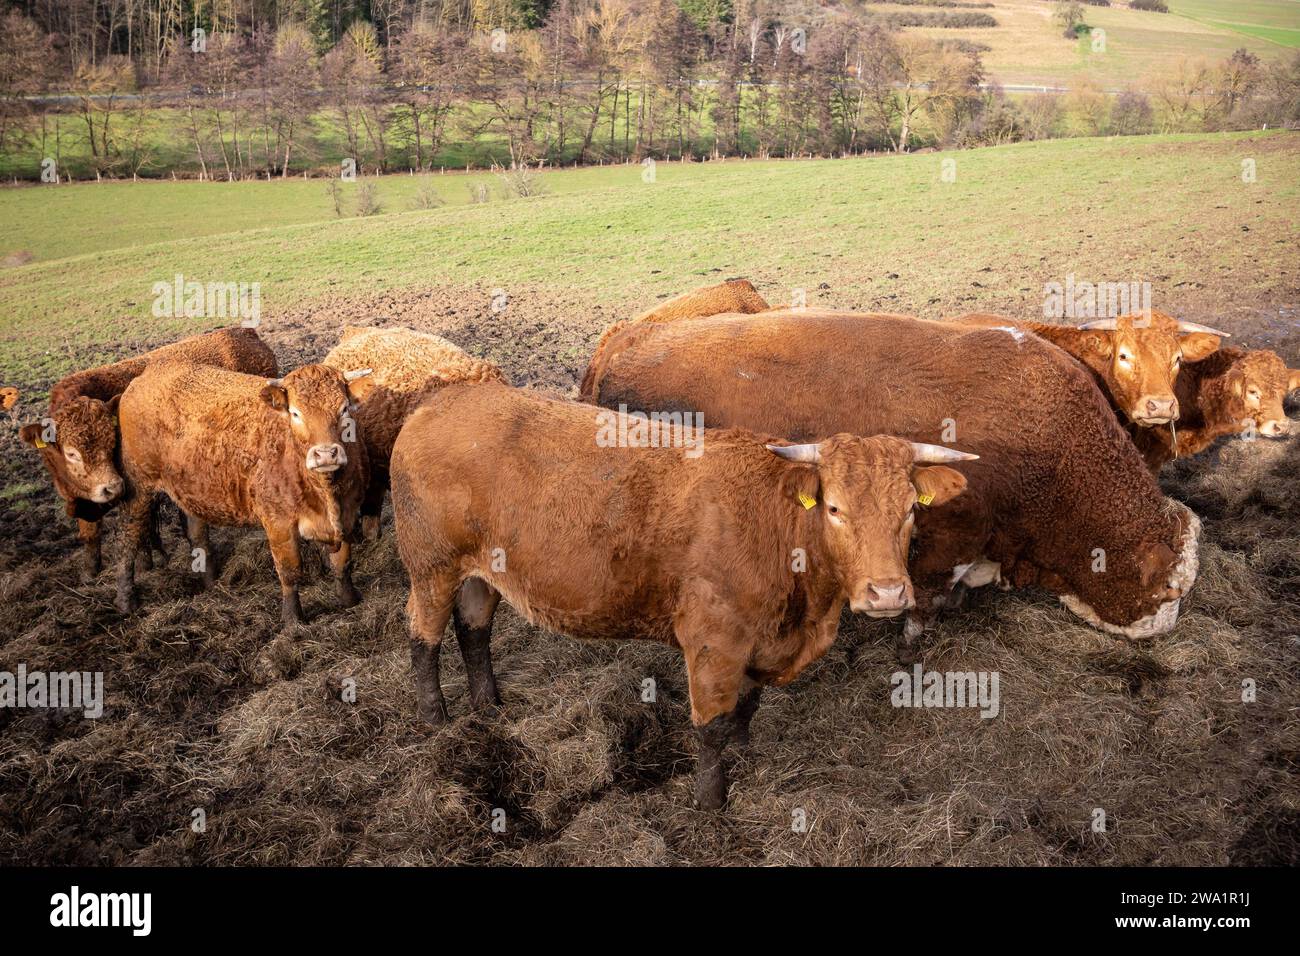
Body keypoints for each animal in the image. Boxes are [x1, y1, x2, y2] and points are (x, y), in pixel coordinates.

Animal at [17, 327, 278, 579]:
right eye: (71, 453)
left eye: (112, 442)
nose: (112, 487)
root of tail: (242, 332)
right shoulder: (82, 495)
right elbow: (90, 533)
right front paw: (89, 573)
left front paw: (145, 565)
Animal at [114, 361, 371, 627]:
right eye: (296, 413)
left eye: (343, 408)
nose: (326, 454)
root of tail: (146, 376)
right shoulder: (278, 523)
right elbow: (290, 571)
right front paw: (292, 620)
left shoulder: (348, 513)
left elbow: (343, 563)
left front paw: (350, 600)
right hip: (139, 487)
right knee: (128, 538)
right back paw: (125, 599)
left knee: (197, 534)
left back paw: (211, 583)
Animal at [391, 380, 976, 810]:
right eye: (834, 508)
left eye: (910, 508)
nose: (887, 592)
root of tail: (440, 401)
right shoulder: (714, 641)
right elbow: (711, 726)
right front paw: (711, 803)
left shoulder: (755, 641)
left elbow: (746, 706)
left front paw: (746, 752)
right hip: (431, 567)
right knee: (423, 635)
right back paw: (435, 717)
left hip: (481, 571)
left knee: (474, 626)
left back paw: (488, 705)